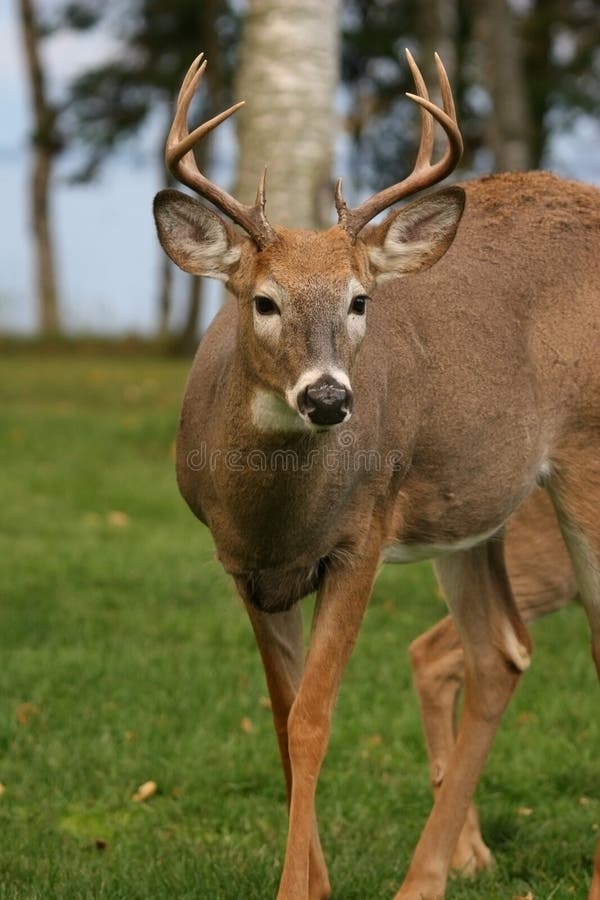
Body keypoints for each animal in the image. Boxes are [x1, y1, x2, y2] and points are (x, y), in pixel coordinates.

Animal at [153, 49, 600, 900]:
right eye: (263, 301)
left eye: (360, 300)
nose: (329, 397)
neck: (277, 517)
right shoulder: (243, 563)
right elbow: (280, 714)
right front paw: (318, 883)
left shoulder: (361, 536)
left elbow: (313, 719)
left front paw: (296, 889)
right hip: (472, 507)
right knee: (498, 652)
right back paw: (425, 878)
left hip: (585, 461)